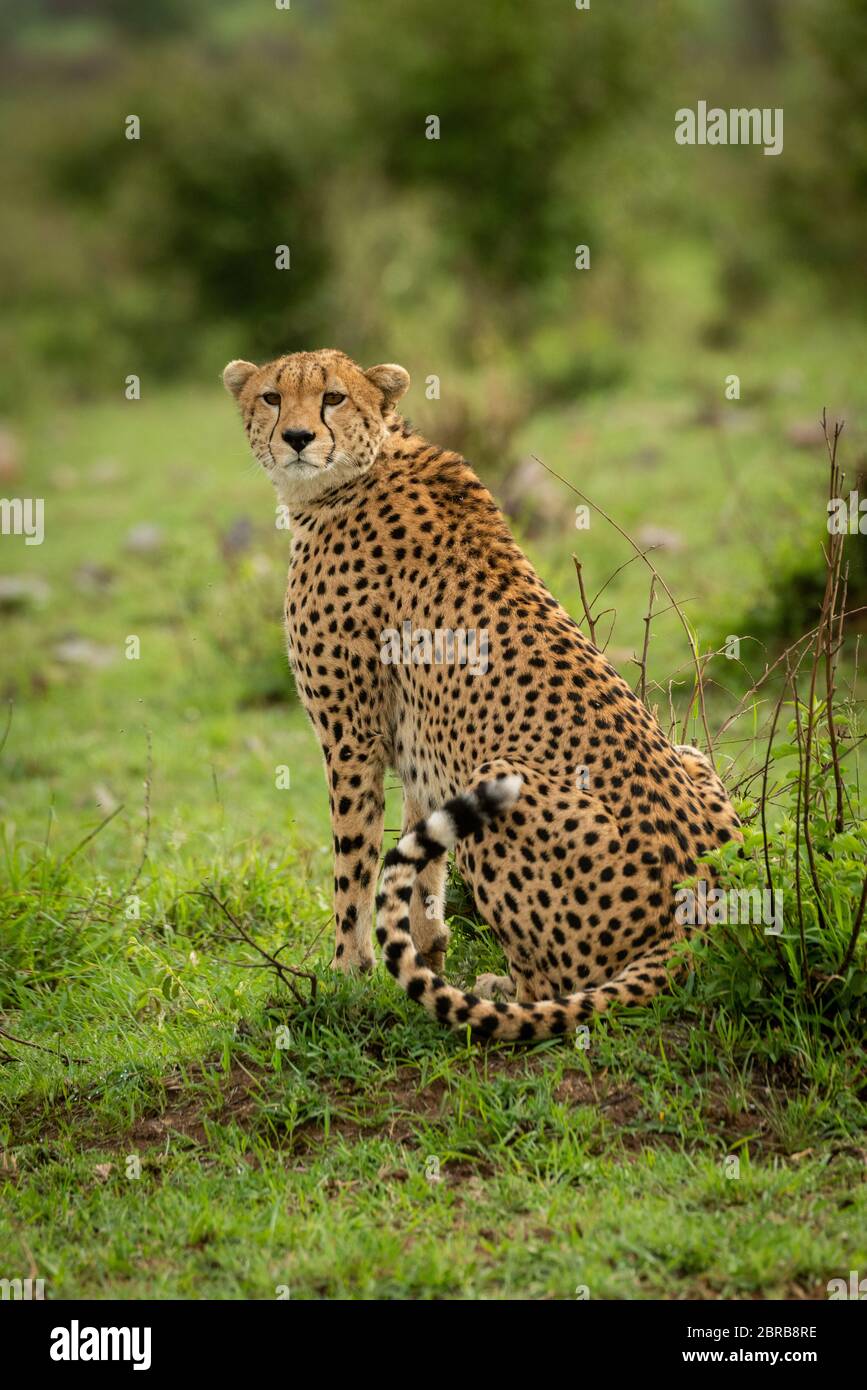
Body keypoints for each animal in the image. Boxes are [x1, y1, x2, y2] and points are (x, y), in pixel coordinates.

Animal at [223, 347, 741, 1041]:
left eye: (333, 398)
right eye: (273, 397)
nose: (299, 438)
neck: (357, 470)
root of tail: (695, 924)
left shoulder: (352, 736)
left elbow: (352, 865)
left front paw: (345, 975)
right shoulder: (419, 743)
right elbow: (418, 869)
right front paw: (425, 951)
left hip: (497, 779)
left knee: (553, 988)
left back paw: (501, 991)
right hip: (692, 756)